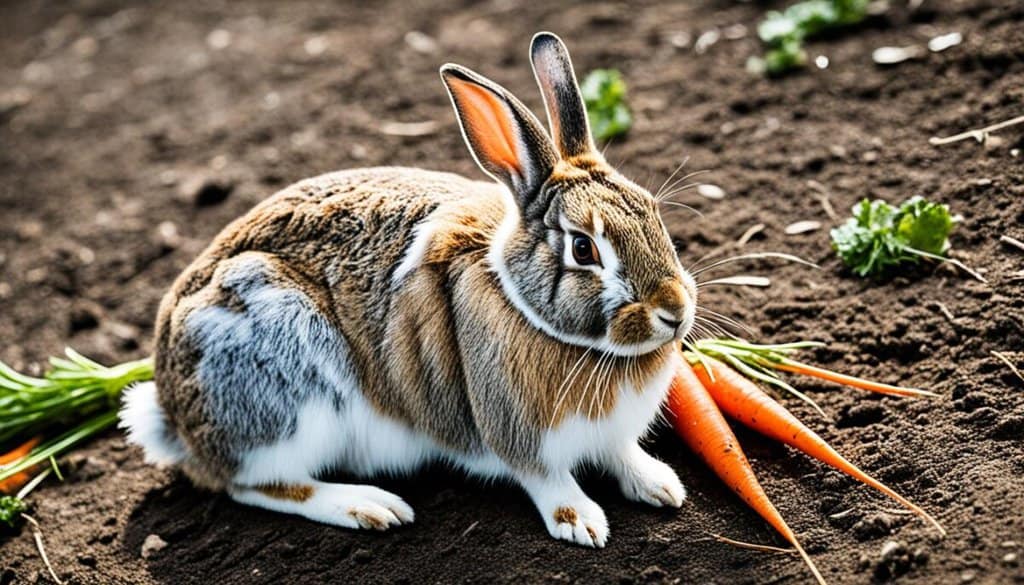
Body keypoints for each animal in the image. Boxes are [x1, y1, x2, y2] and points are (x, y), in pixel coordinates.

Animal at [119, 32, 697, 548]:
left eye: (652, 210)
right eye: (583, 249)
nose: (674, 311)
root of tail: (175, 417)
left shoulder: (611, 435)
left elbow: (622, 454)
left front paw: (661, 485)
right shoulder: (517, 436)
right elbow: (547, 480)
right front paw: (581, 523)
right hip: (287, 393)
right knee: (255, 484)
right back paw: (369, 506)